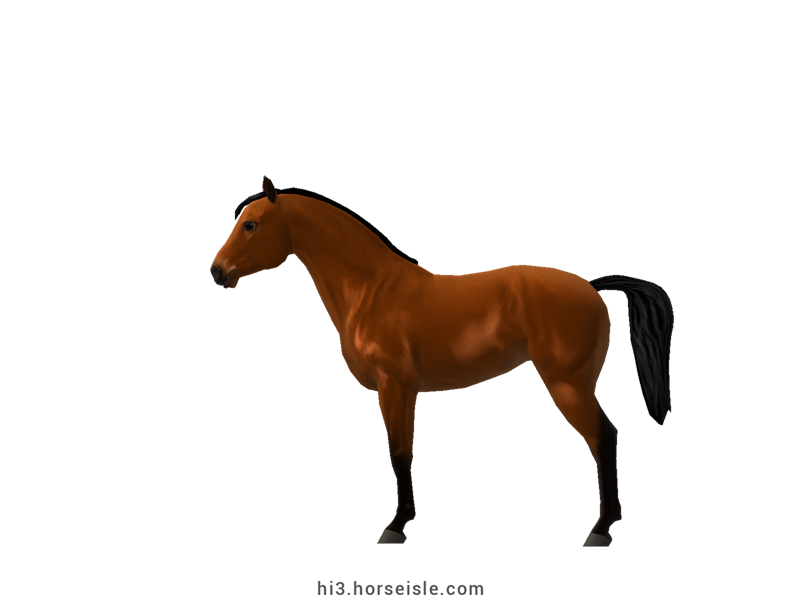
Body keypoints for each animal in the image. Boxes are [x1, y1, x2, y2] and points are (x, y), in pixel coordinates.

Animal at [211, 178, 671, 538]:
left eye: (250, 224)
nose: (218, 271)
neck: (371, 288)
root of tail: (594, 288)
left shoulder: (393, 383)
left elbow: (398, 449)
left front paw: (398, 523)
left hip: (568, 383)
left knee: (603, 440)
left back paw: (602, 526)